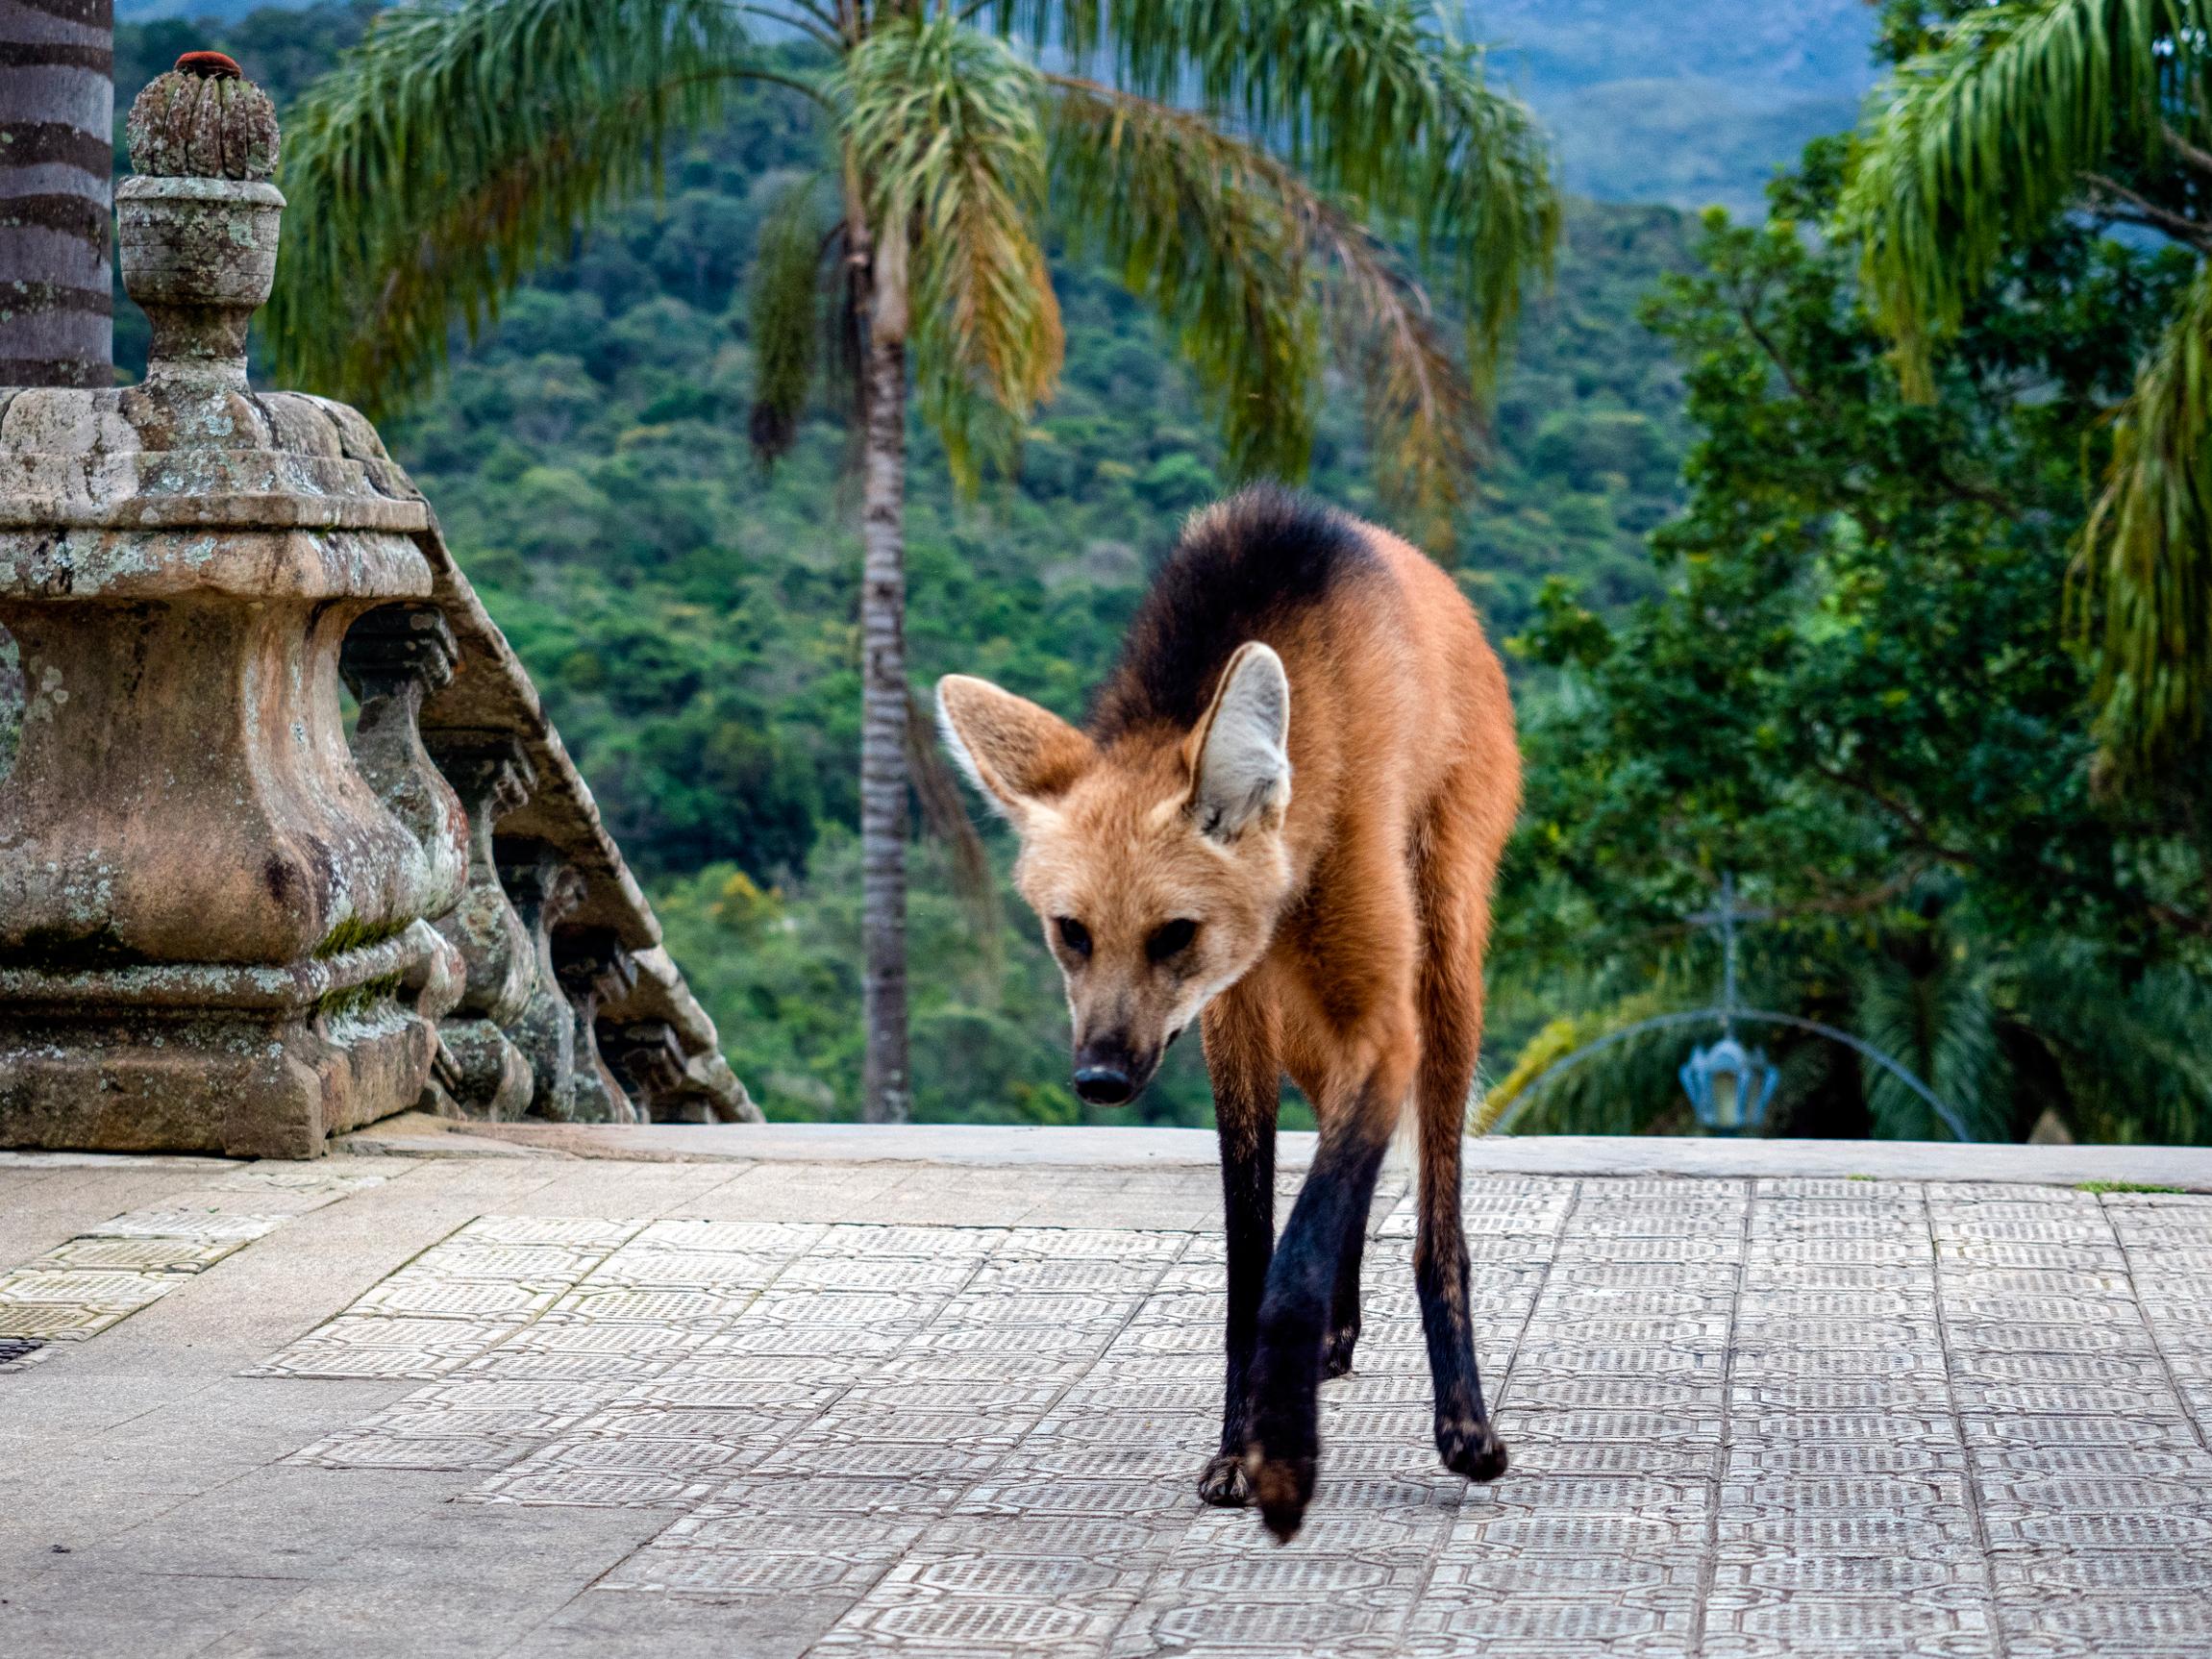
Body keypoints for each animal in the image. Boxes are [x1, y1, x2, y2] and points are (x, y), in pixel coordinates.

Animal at [935, 484, 1520, 1541]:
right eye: (1071, 933)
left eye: (1173, 934)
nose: (1100, 1078)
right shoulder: (1231, 1013)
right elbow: (1253, 1252)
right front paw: (1238, 1443)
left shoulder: (1375, 1010)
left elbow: (1298, 1244)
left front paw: (1281, 1449)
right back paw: (1340, 1328)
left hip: (1445, 939)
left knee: (1435, 1198)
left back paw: (1462, 1420)